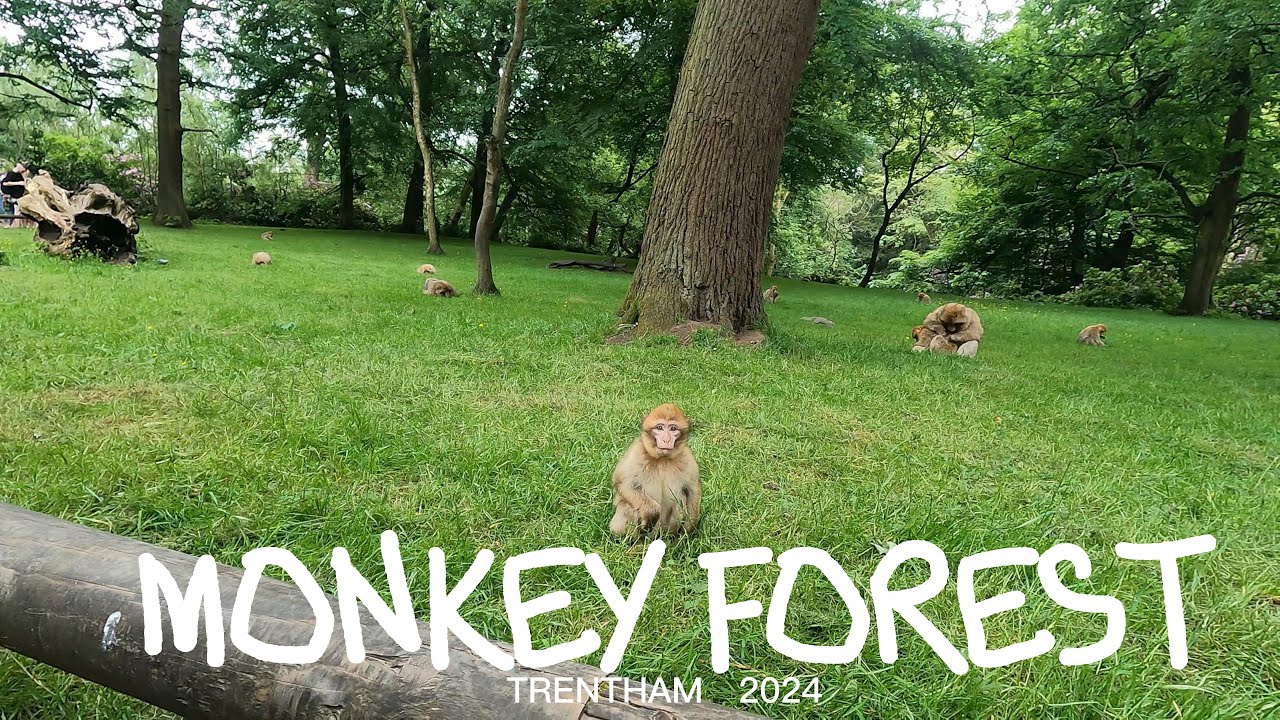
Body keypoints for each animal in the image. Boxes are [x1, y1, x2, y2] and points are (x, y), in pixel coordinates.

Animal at [609, 403, 701, 536]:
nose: (666, 440)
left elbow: (693, 490)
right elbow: (624, 484)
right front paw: (651, 516)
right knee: (627, 505)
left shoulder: (687, 458)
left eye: (673, 428)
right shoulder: (636, 452)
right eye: (659, 428)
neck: (662, 460)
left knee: (681, 499)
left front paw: (688, 530)